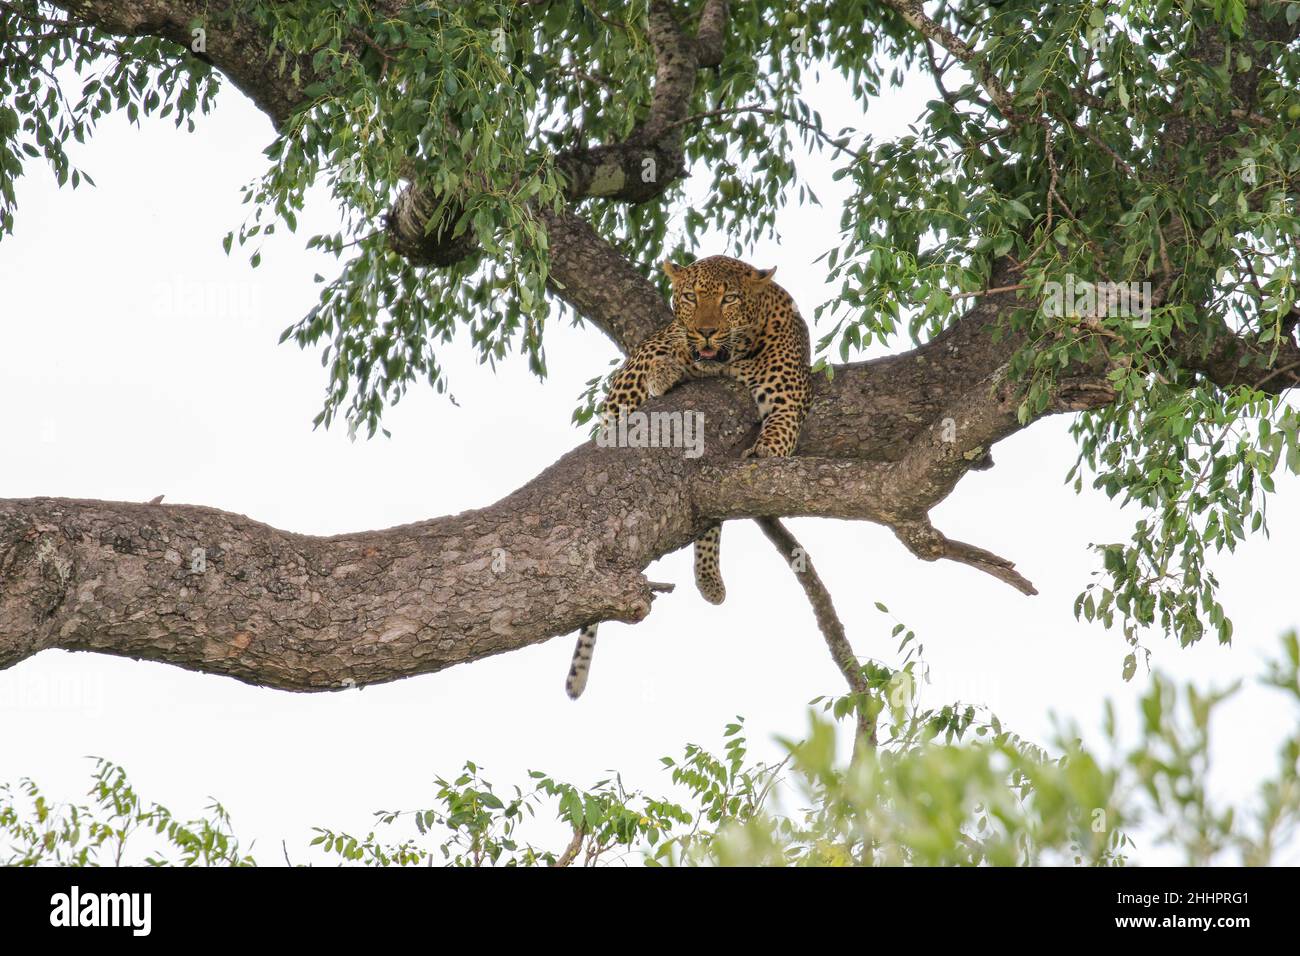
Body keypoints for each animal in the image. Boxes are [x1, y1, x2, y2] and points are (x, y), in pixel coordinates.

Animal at [565, 254, 813, 698]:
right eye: (691, 297)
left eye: (729, 299)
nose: (706, 329)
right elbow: (678, 357)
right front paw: (671, 368)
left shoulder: (788, 403)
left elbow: (772, 445)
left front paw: (761, 452)